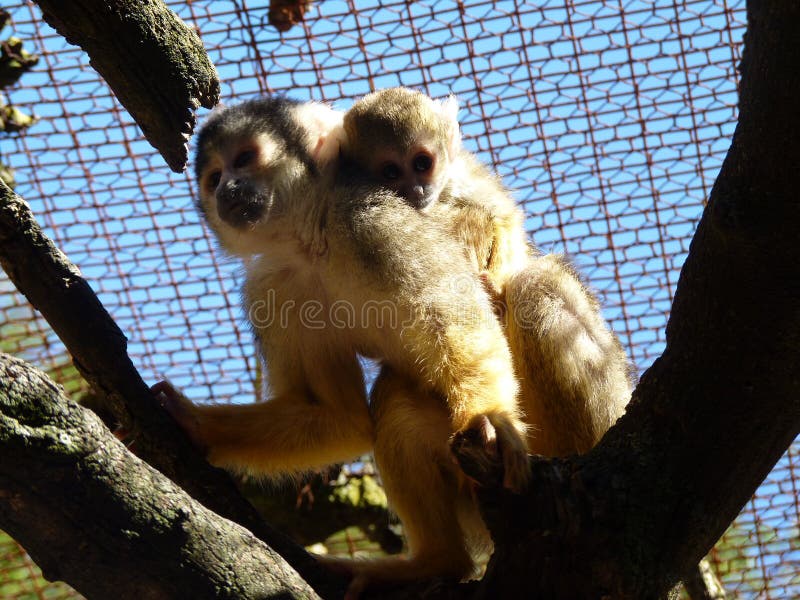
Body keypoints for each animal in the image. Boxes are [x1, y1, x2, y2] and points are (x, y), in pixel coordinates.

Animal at [157, 96, 529, 594]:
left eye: (244, 159)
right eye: (213, 177)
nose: (227, 189)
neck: (313, 237)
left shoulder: (371, 219)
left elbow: (457, 320)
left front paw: (490, 418)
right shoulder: (275, 287)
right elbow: (342, 418)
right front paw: (194, 422)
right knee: (396, 403)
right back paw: (438, 563)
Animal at [340, 86, 633, 459]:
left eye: (422, 163)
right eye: (391, 172)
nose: (417, 191)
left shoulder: (462, 172)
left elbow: (503, 215)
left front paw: (492, 288)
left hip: (611, 397)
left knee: (537, 283)